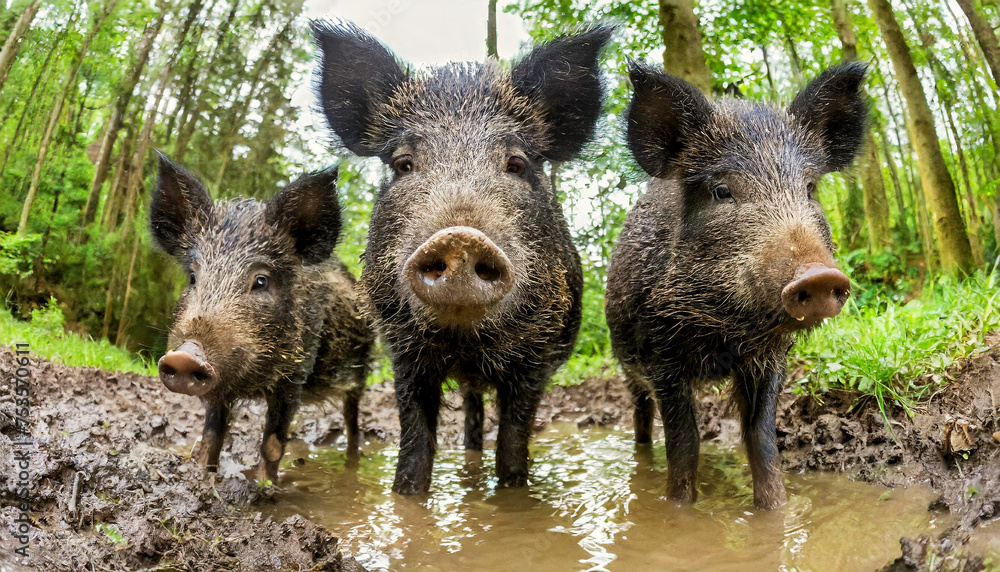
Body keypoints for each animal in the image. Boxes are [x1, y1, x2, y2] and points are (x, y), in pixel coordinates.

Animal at [150, 152, 374, 483]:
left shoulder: (295, 375)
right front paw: (203, 476)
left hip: (360, 371)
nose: (186, 356)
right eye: (192, 276)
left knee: (352, 420)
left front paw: (265, 486)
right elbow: (212, 434)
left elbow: (272, 443)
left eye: (261, 280)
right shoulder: (219, 389)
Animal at [312, 21, 612, 493]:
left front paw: (512, 492)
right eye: (403, 164)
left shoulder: (537, 358)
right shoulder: (405, 356)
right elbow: (414, 444)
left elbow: (513, 441)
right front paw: (407, 495)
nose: (460, 237)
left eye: (516, 163)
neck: (467, 345)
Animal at [605, 62, 868, 509]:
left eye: (810, 188)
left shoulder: (771, 359)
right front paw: (678, 509)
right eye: (722, 190)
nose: (818, 276)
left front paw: (775, 510)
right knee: (641, 416)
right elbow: (684, 442)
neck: (725, 332)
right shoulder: (660, 356)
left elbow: (761, 440)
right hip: (625, 364)